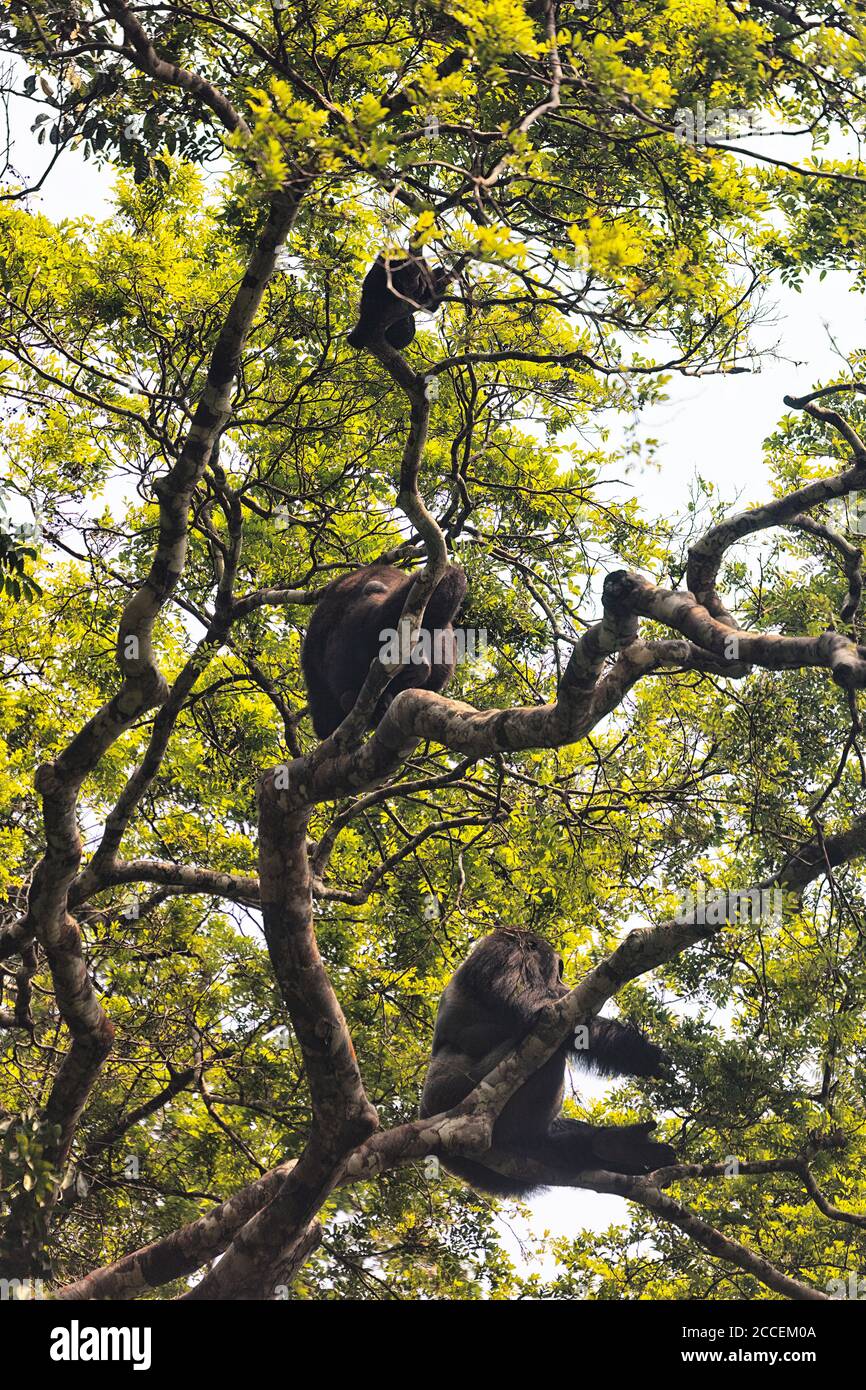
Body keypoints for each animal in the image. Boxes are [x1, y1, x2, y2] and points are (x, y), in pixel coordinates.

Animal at [420, 928, 676, 1196]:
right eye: (559, 969)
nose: (563, 981)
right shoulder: (506, 955)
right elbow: (543, 1012)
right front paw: (642, 1053)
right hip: (464, 1097)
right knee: (547, 1054)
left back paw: (613, 1146)